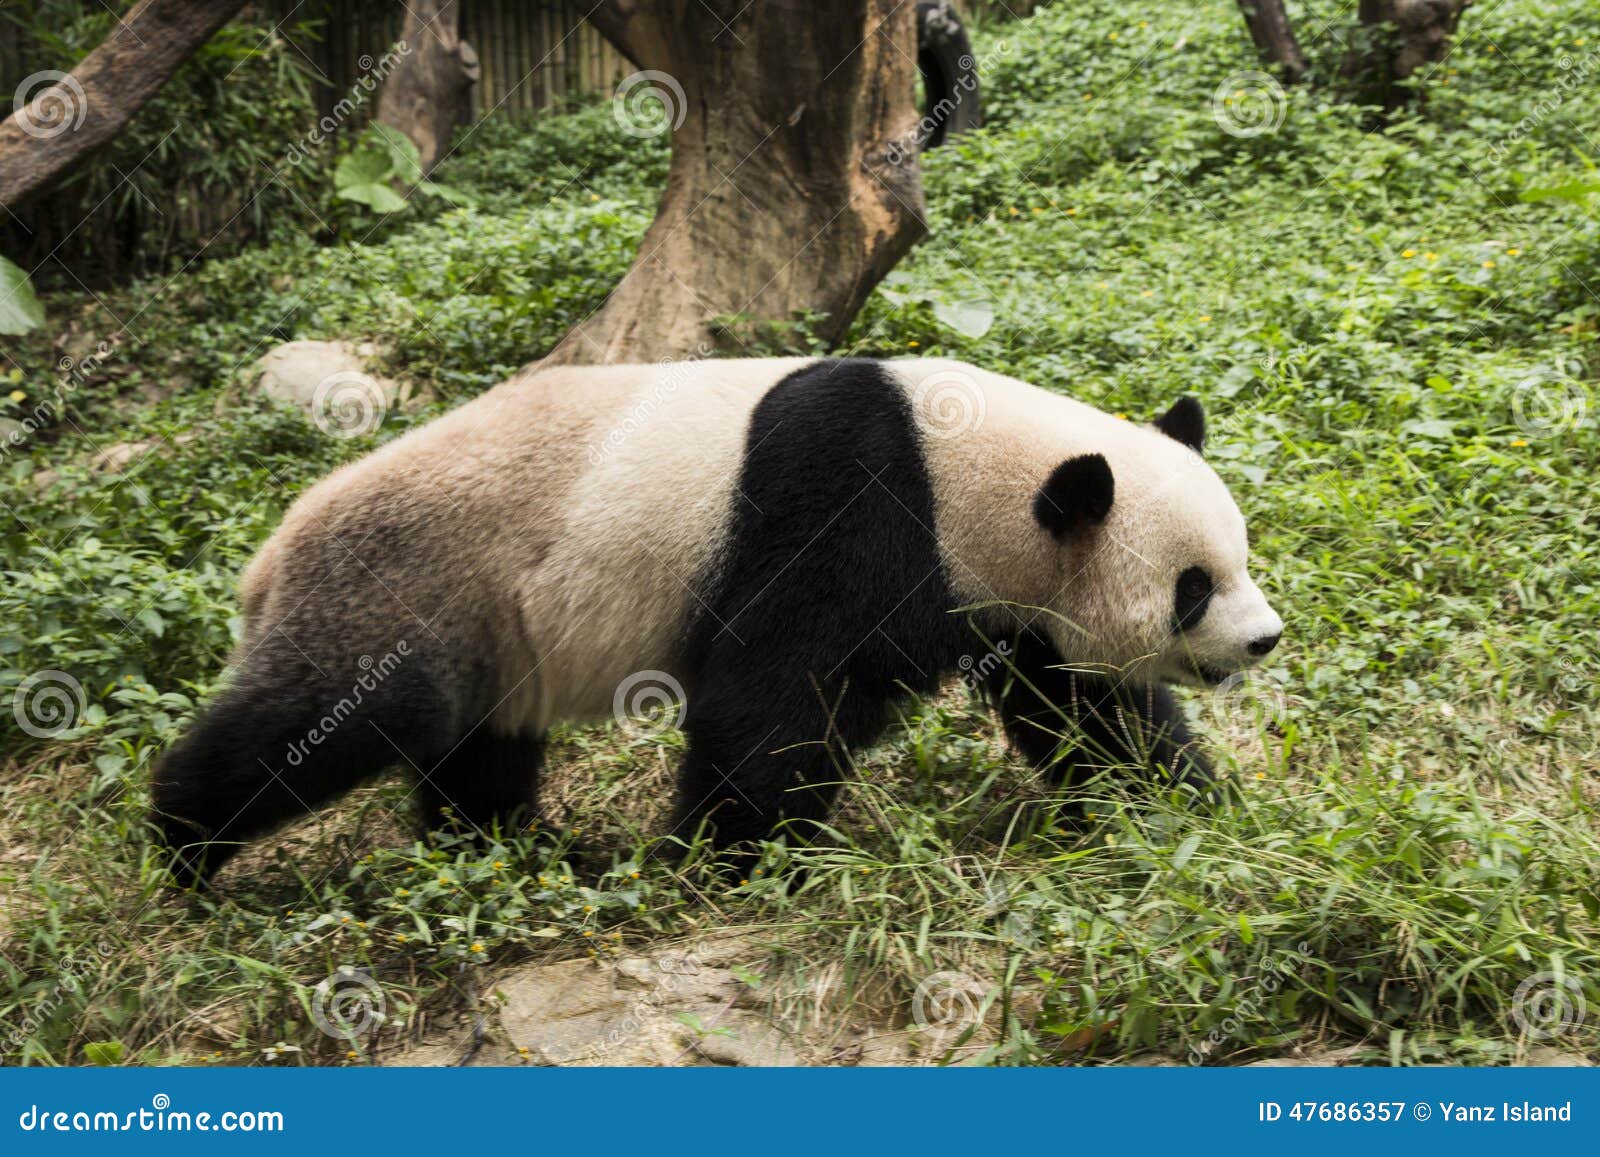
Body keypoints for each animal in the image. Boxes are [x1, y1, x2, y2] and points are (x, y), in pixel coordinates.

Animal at [152, 357, 1283, 882]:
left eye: (1239, 556)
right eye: (1192, 585)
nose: (1262, 639)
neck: (968, 469)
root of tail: (271, 553)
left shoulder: (1008, 597)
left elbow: (1083, 708)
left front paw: (1183, 804)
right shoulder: (851, 500)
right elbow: (777, 691)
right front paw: (731, 855)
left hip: (489, 624)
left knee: (477, 749)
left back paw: (519, 850)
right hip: (408, 580)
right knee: (324, 719)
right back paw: (184, 846)